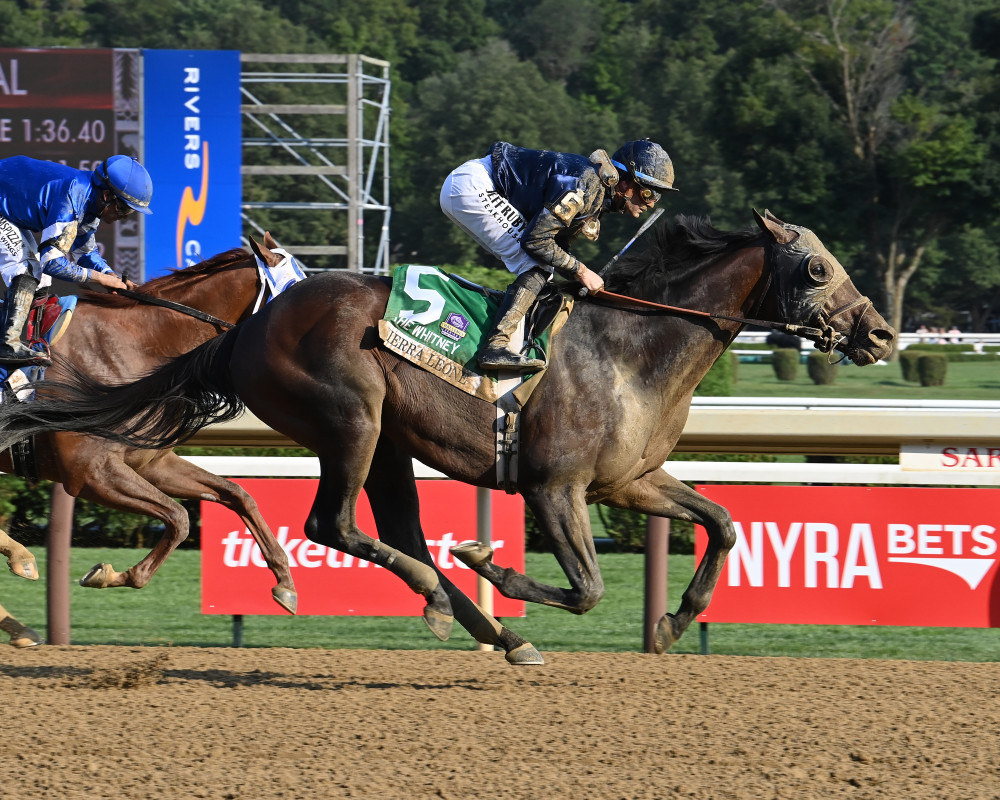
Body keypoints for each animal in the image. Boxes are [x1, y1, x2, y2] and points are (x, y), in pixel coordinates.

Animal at [0, 235, 297, 615]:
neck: (137, 344)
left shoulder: (150, 462)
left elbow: (237, 494)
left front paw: (285, 582)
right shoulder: (89, 471)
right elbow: (179, 517)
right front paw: (109, 574)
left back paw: (20, 558)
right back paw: (21, 559)